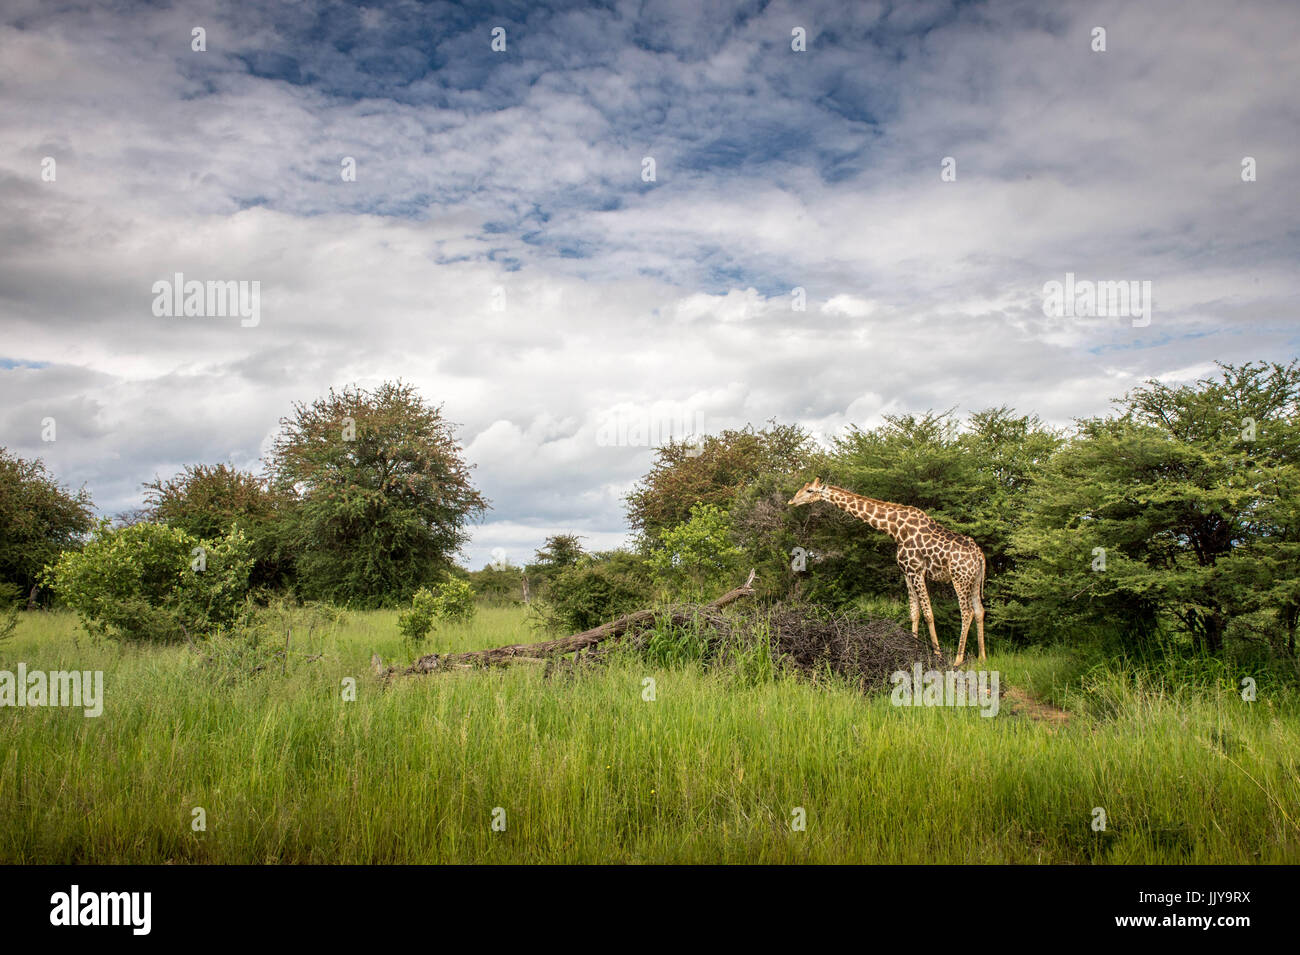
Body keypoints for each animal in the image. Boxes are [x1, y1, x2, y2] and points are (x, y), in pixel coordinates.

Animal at [788, 478, 987, 665]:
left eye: (809, 490)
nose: (791, 501)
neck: (896, 529)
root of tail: (980, 557)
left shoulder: (916, 571)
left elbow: (928, 613)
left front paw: (937, 655)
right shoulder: (907, 572)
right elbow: (914, 613)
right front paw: (914, 649)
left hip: (959, 578)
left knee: (967, 611)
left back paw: (958, 660)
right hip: (974, 580)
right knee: (979, 610)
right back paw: (982, 657)